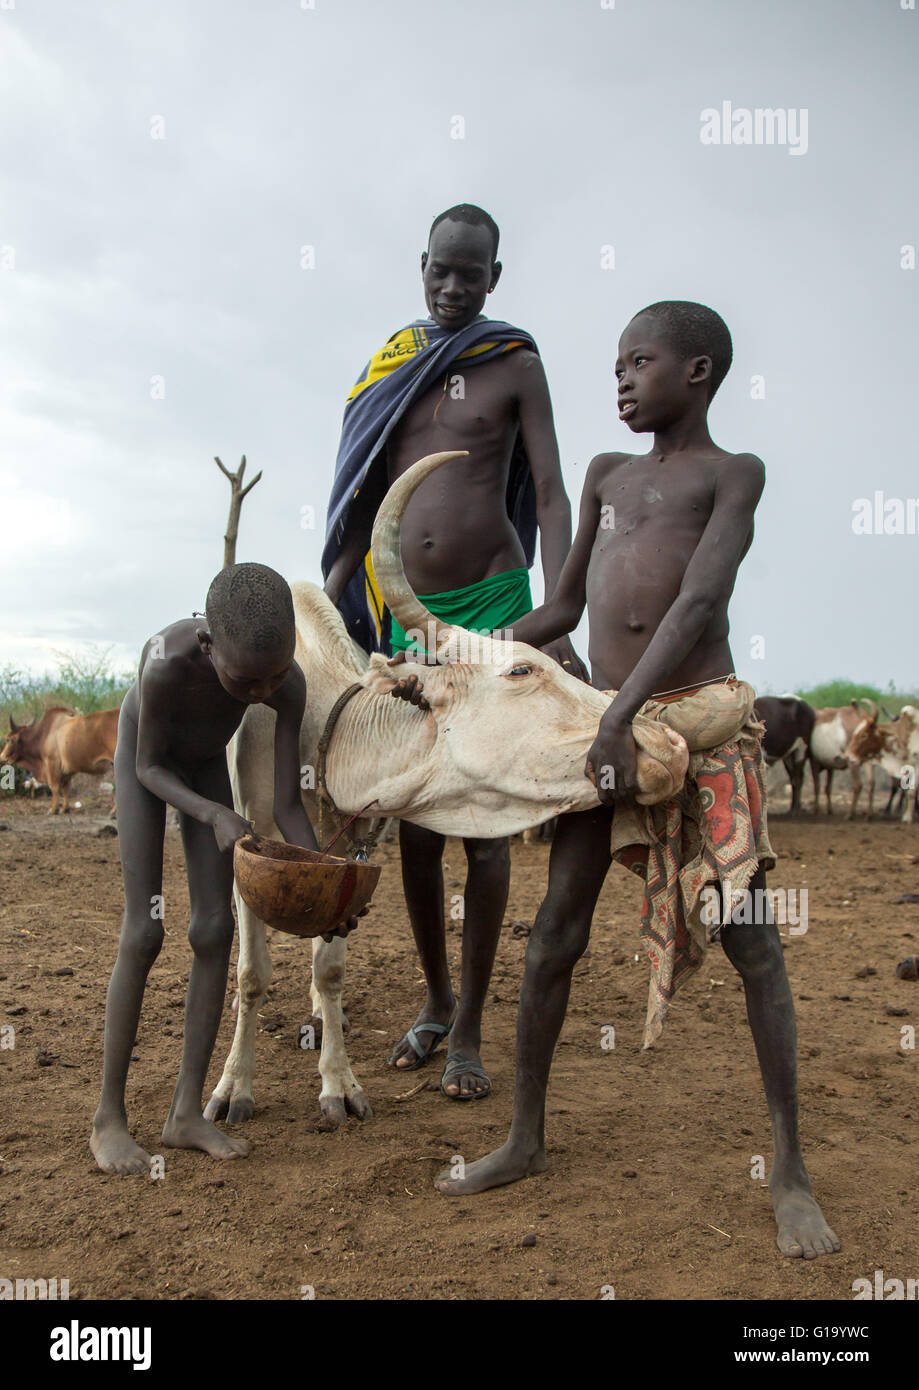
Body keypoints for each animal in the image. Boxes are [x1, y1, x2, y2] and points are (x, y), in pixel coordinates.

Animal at [206, 451, 689, 1128]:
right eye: (521, 669)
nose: (669, 746)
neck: (324, 726)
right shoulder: (251, 835)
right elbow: (251, 974)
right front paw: (234, 1087)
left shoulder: (352, 845)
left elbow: (331, 968)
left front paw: (338, 1083)